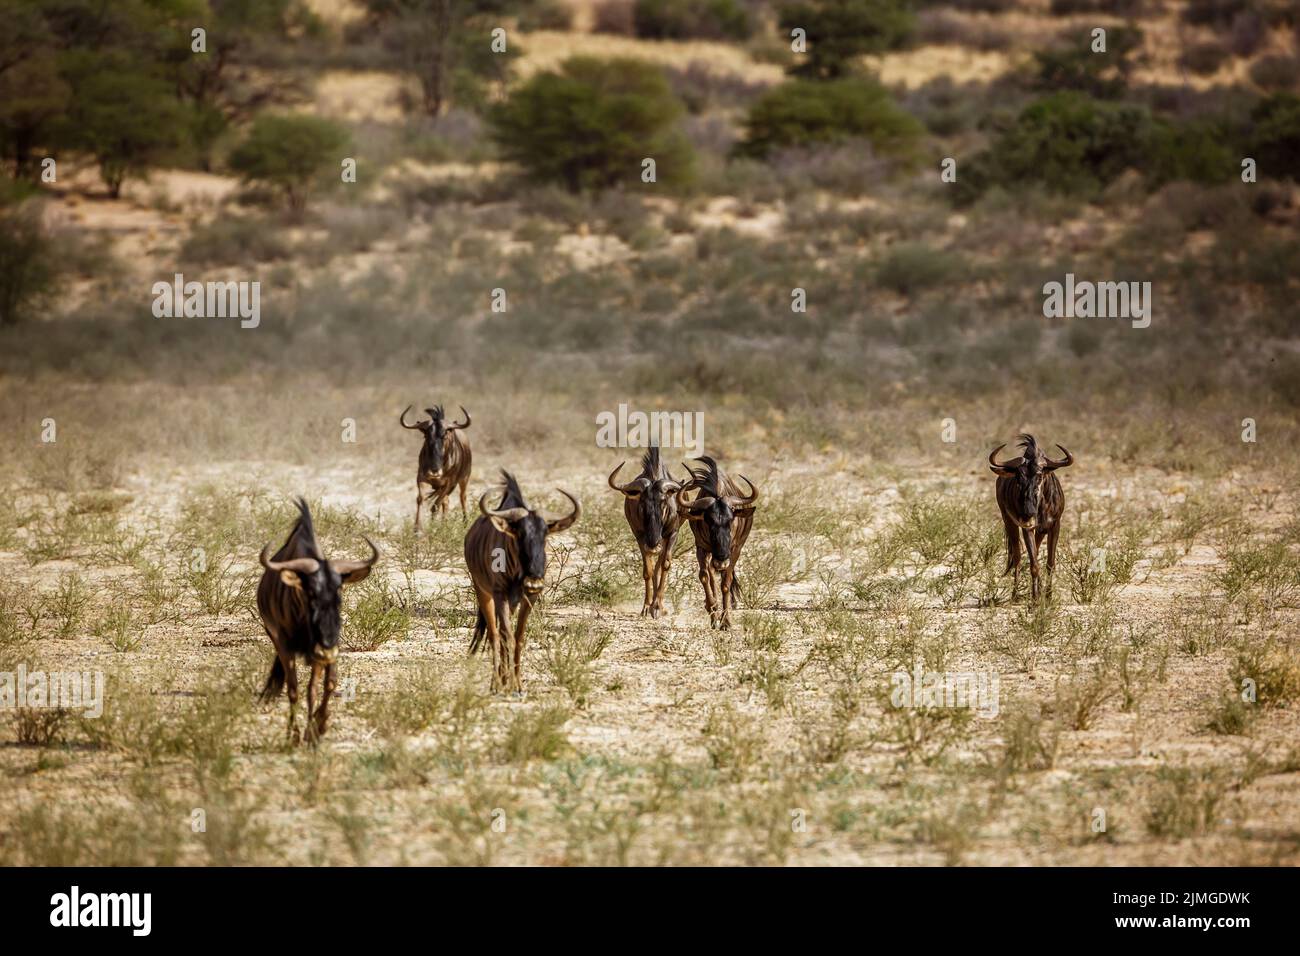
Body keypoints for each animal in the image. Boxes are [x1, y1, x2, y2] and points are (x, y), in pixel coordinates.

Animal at [257, 499, 378, 744]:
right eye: (309, 594)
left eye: (339, 592)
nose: (327, 646)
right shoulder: (286, 646)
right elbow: (294, 688)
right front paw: (294, 735)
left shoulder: (322, 654)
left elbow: (320, 688)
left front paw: (315, 730)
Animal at [464, 472, 580, 694]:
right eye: (519, 533)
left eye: (545, 534)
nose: (533, 579)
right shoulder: (499, 594)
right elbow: (505, 635)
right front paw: (504, 683)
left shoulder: (529, 597)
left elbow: (518, 636)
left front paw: (516, 684)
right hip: (483, 592)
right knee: (494, 634)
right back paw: (496, 683)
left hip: (511, 602)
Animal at [607, 445, 683, 619]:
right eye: (642, 502)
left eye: (663, 501)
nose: (653, 543)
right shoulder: (640, 536)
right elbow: (647, 570)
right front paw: (647, 607)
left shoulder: (673, 534)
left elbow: (665, 565)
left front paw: (658, 607)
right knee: (654, 567)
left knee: (660, 565)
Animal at [678, 456, 757, 630]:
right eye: (708, 520)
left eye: (731, 520)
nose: (721, 558)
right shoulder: (701, 548)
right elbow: (704, 577)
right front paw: (712, 609)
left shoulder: (734, 550)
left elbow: (726, 583)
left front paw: (726, 621)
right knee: (712, 578)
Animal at [989, 434, 1073, 601]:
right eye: (1018, 477)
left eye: (1040, 475)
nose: (1028, 512)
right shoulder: (1027, 528)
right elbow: (1034, 564)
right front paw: (1035, 599)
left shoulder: (1054, 526)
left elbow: (1050, 563)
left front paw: (1048, 596)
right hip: (1009, 522)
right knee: (1017, 556)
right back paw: (1015, 594)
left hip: (1039, 531)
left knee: (1035, 552)